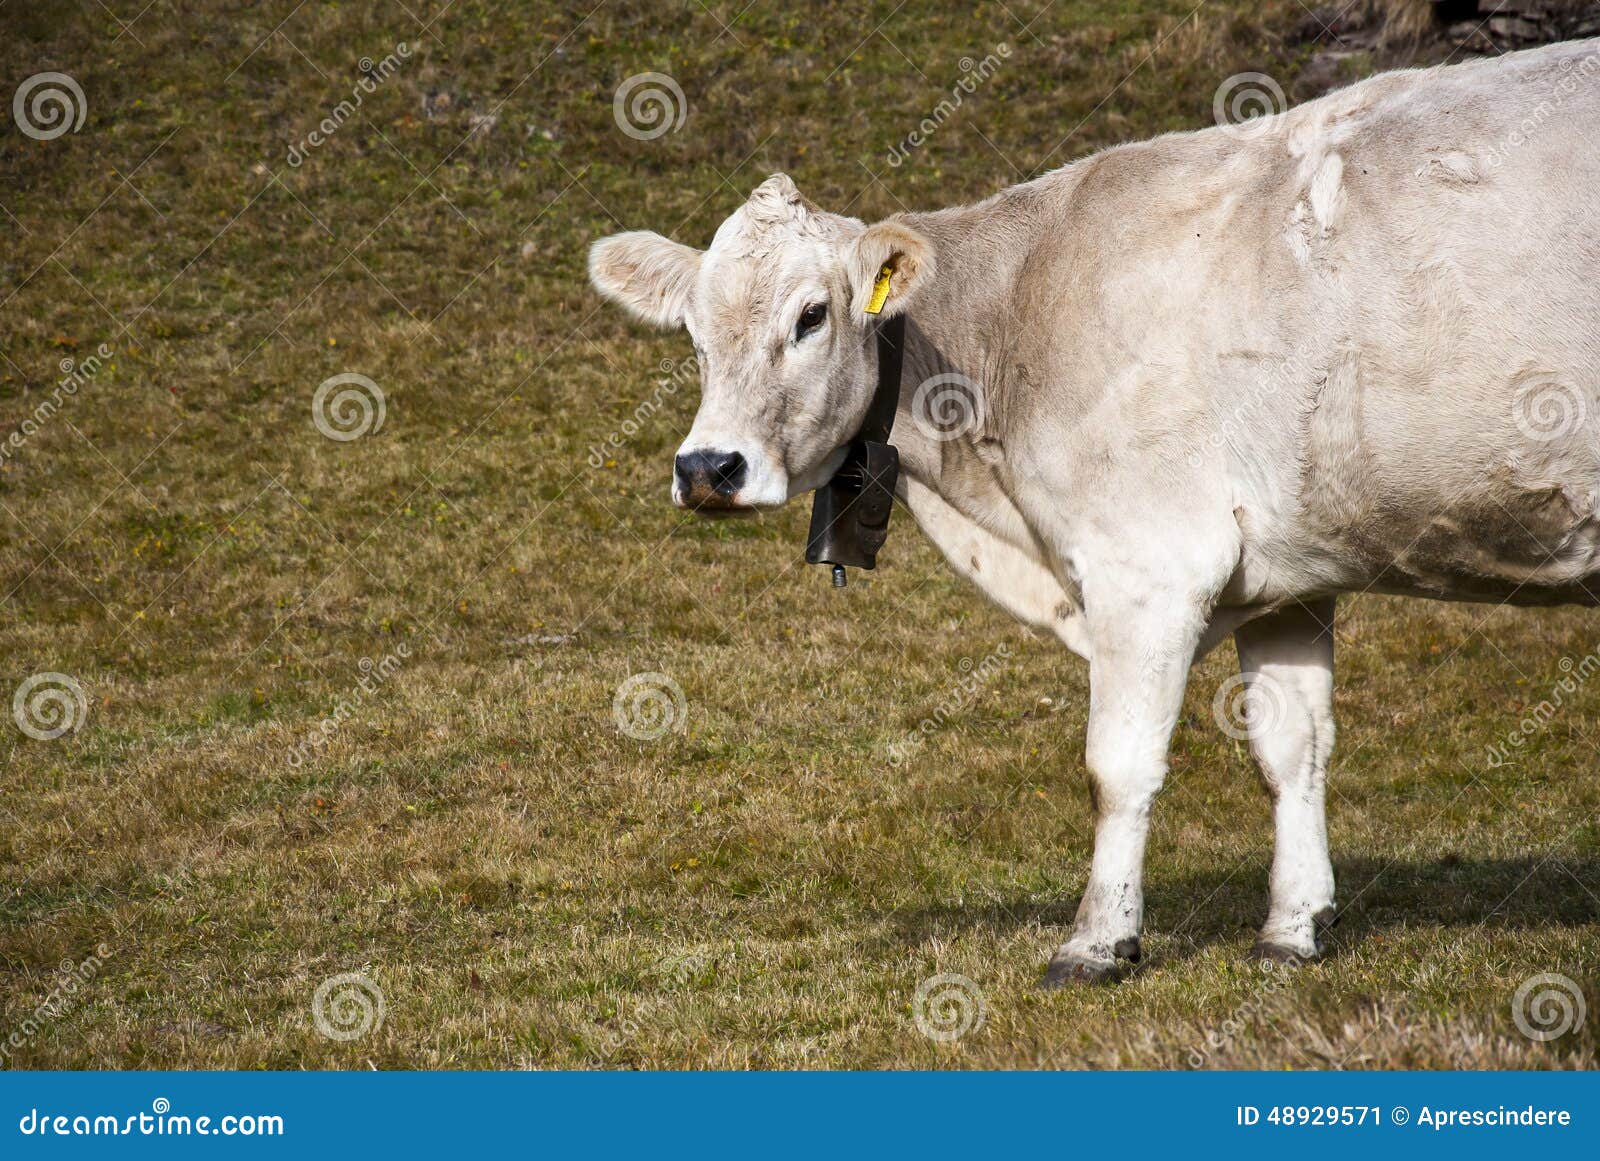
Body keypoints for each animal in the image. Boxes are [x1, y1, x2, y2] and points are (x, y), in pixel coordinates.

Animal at [588, 40, 1600, 983]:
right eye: (692, 332)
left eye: (810, 316)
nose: (708, 467)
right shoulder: (1289, 571)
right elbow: (1292, 748)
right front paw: (1294, 925)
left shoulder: (1148, 562)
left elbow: (1118, 765)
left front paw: (1097, 939)